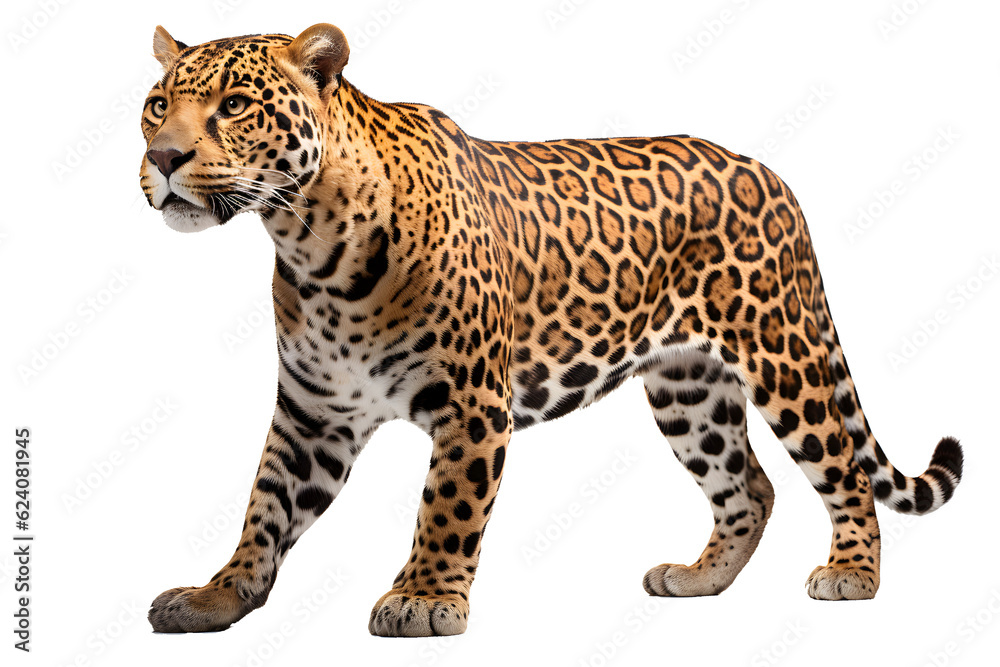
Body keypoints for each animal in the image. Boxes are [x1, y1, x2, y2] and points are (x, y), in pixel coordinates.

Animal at [139, 23, 964, 636]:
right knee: (749, 486)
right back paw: (699, 578)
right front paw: (219, 594)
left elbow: (447, 505)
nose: (163, 157)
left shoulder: (472, 402)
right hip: (687, 389)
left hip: (780, 351)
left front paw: (424, 596)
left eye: (234, 104)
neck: (309, 239)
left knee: (842, 466)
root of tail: (771, 174)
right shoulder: (315, 413)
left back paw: (852, 573)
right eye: (155, 104)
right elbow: (266, 504)